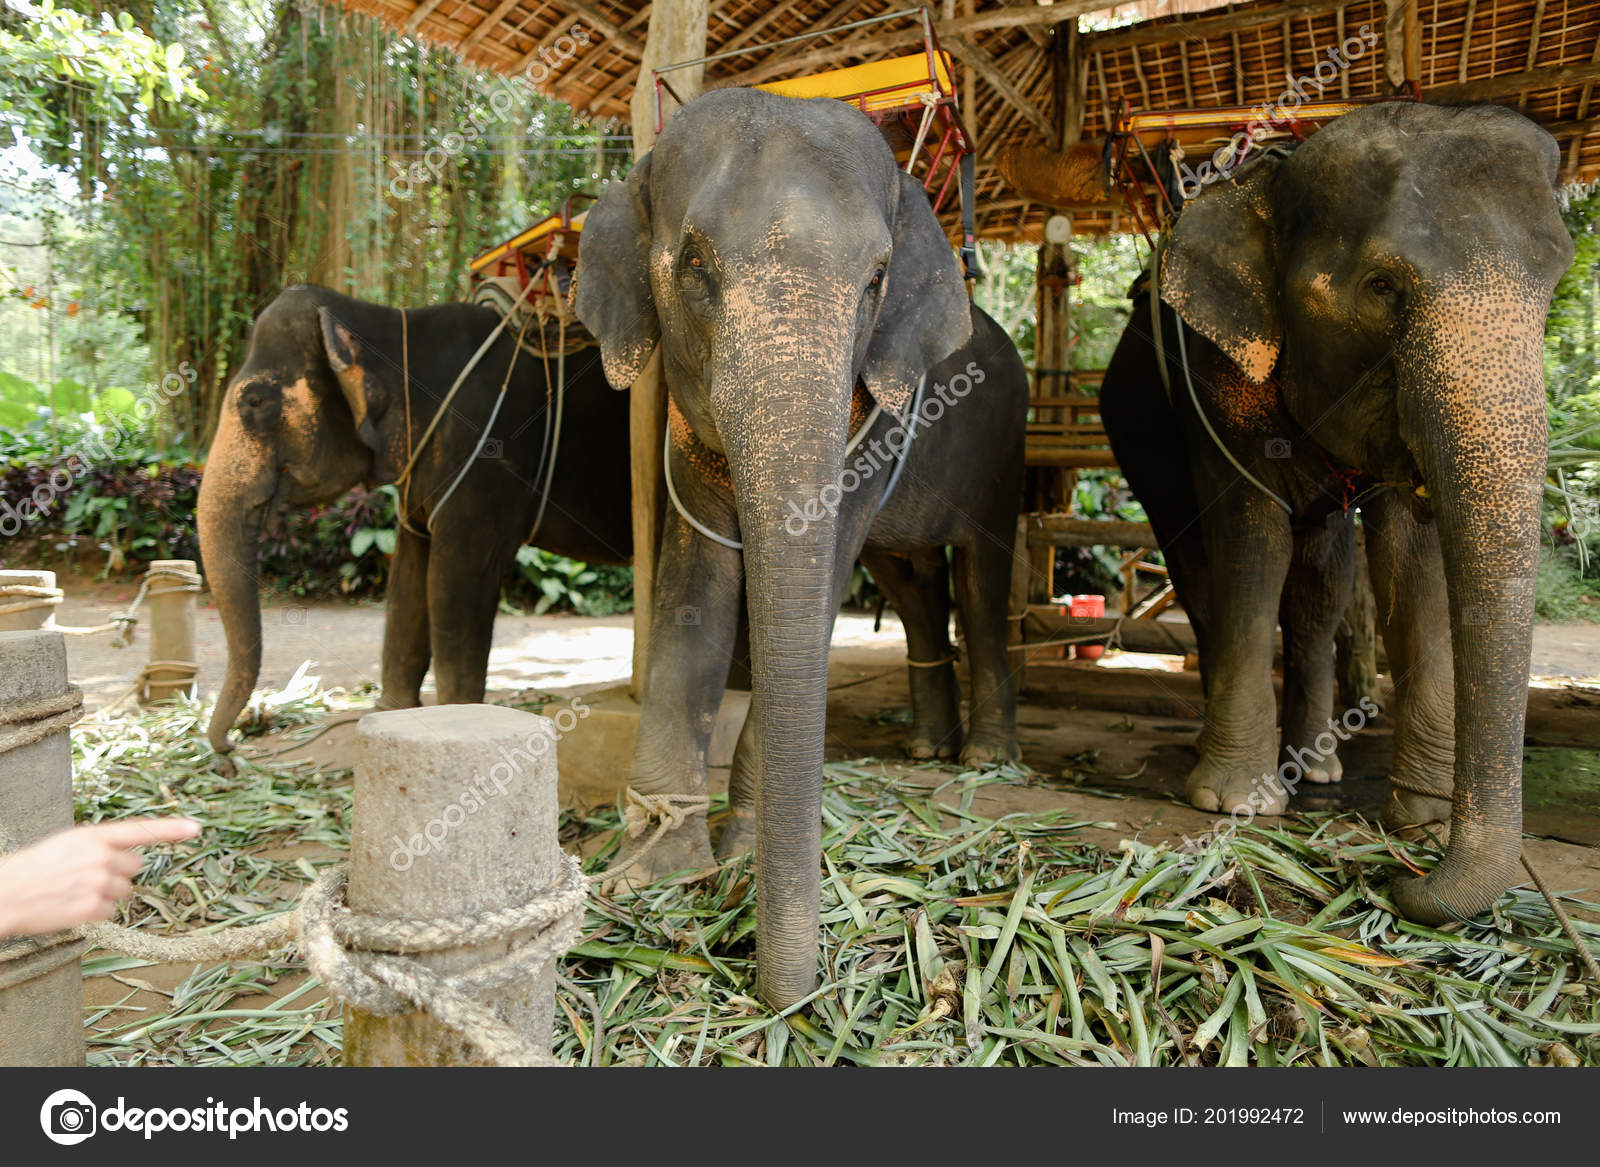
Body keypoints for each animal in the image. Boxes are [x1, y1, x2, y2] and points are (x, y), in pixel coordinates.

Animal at [195, 285, 632, 758]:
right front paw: (393, 713)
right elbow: (406, 580)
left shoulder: (487, 458)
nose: (232, 750)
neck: (396, 326)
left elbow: (456, 587)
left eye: (254, 401)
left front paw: (463, 718)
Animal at [575, 88, 1029, 1009]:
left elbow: (815, 589)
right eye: (694, 263)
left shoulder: (878, 423)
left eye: (876, 281)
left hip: (1003, 453)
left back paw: (984, 756)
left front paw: (734, 850)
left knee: (978, 579)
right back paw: (927, 747)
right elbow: (695, 589)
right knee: (913, 582)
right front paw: (651, 869)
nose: (786, 993)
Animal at [1097, 102, 1574, 925]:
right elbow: (1250, 537)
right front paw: (1235, 804)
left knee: (1321, 584)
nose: (1403, 880)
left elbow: (1411, 559)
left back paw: (1319, 767)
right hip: (1135, 431)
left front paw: (1421, 818)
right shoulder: (1215, 373)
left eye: (1555, 283)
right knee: (1202, 573)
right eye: (1382, 286)